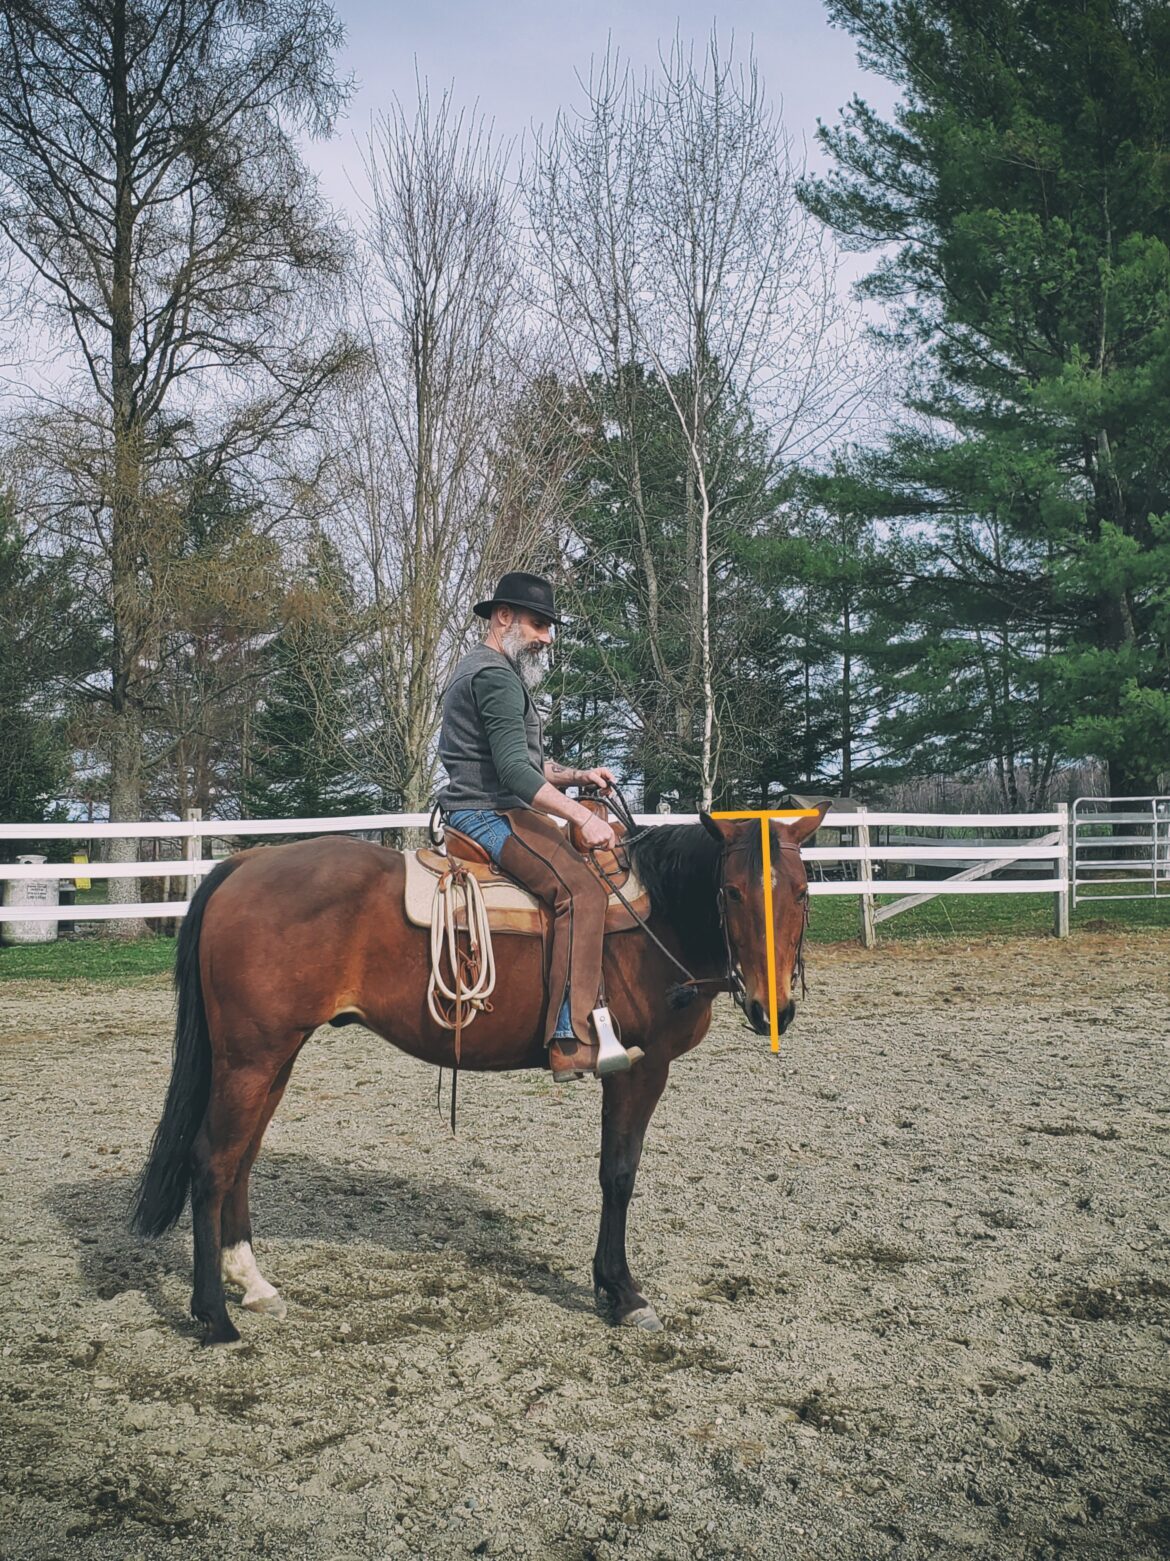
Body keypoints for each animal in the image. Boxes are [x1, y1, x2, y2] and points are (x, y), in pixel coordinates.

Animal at [132, 804, 828, 1341]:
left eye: (801, 892)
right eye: (732, 892)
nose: (772, 1009)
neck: (656, 918)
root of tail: (245, 862)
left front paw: (612, 1286)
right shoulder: (639, 1069)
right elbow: (619, 1175)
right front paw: (623, 1293)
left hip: (273, 1058)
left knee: (242, 1159)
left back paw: (252, 1284)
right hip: (252, 1058)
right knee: (212, 1162)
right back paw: (214, 1316)